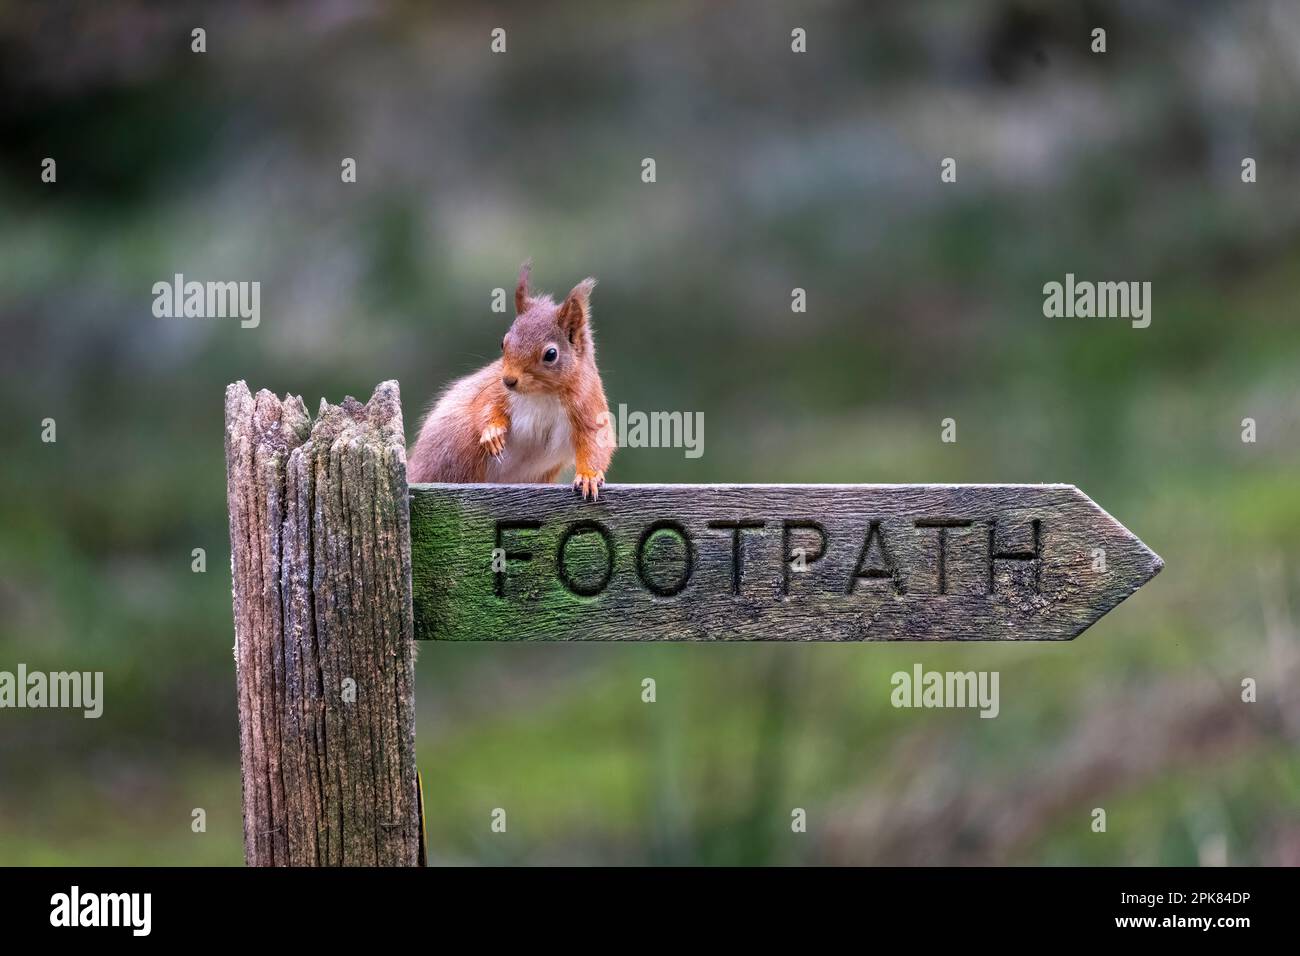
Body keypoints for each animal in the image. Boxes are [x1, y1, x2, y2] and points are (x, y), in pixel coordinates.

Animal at [408, 262, 615, 500]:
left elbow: (597, 439)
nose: (509, 380)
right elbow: (485, 406)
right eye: (503, 342)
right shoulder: (495, 389)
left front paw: (589, 476)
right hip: (459, 443)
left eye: (551, 354)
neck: (541, 394)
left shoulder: (588, 403)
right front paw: (492, 432)